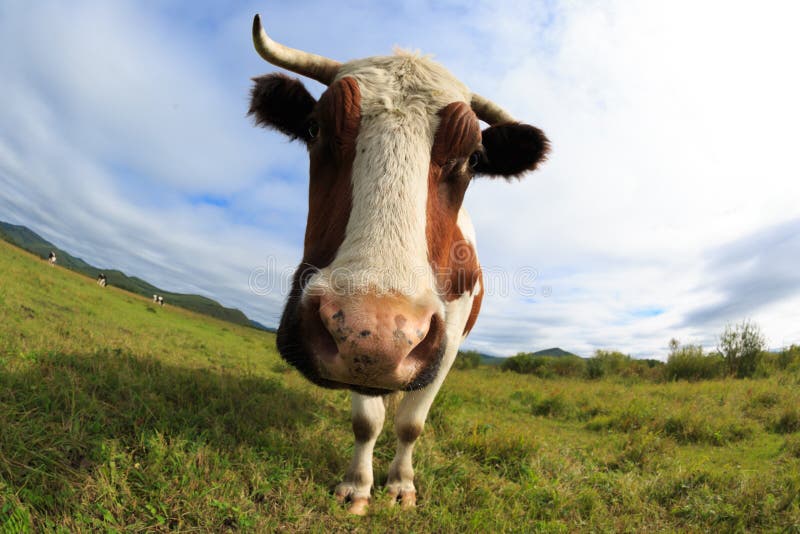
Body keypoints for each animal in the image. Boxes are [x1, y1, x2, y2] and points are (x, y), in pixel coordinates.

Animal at [248, 14, 549, 514]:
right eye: (314, 129)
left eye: (474, 158)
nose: (380, 329)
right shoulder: (353, 350)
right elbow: (367, 422)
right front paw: (357, 486)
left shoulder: (445, 343)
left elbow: (411, 424)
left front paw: (401, 484)